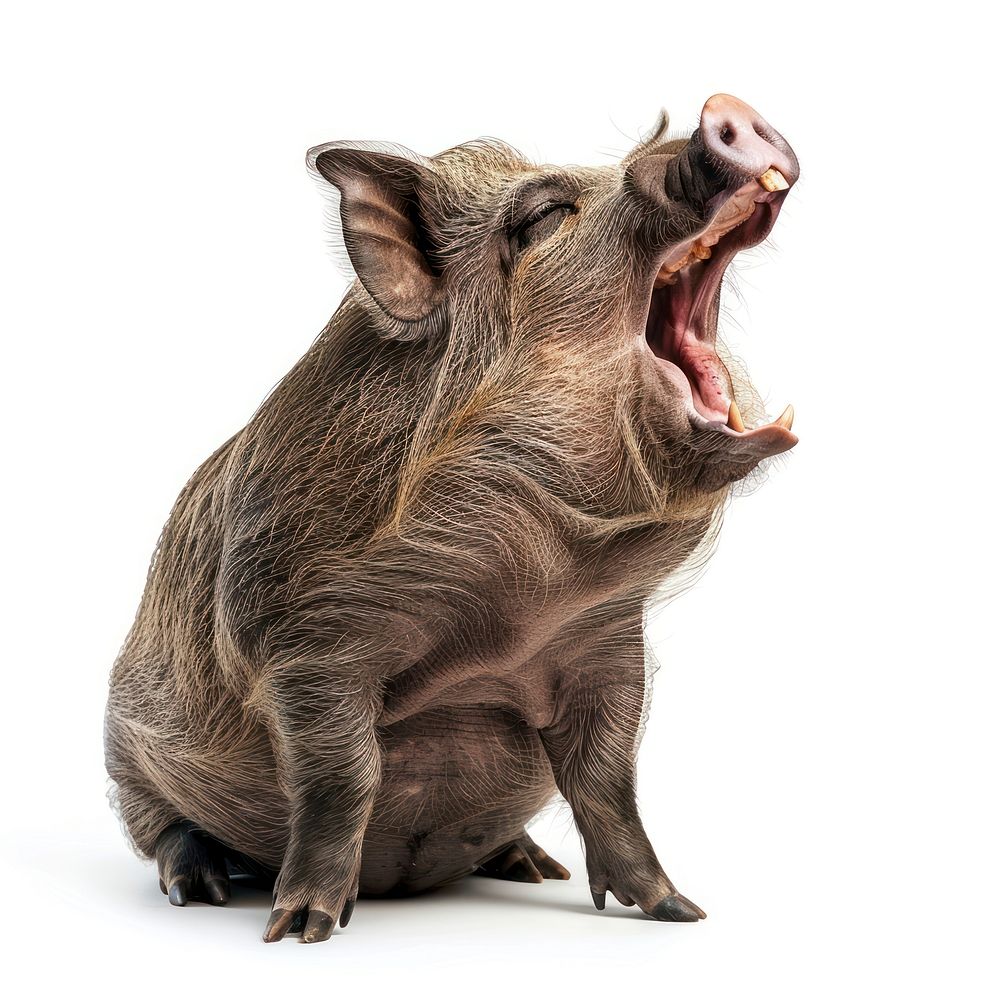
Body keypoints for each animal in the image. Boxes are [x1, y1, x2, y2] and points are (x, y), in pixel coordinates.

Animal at [105, 93, 800, 943]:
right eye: (544, 216)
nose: (727, 107)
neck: (509, 618)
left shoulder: (610, 643)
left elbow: (609, 781)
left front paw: (680, 911)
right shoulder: (304, 646)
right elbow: (341, 780)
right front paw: (300, 930)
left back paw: (532, 865)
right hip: (124, 749)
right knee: (164, 827)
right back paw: (196, 887)